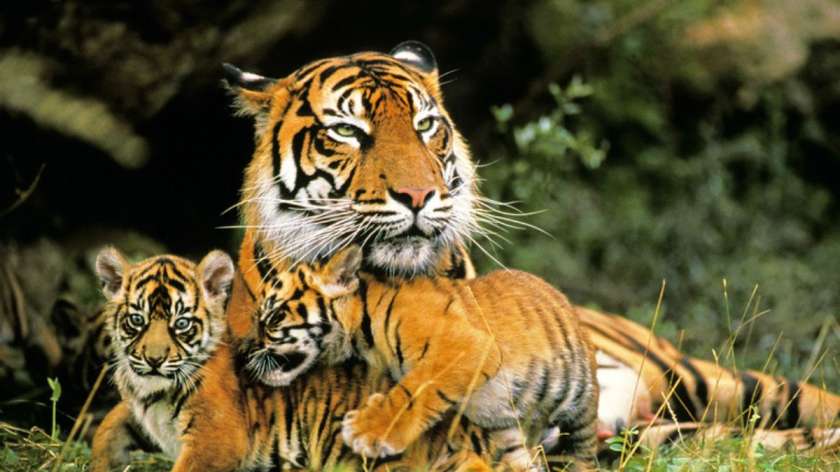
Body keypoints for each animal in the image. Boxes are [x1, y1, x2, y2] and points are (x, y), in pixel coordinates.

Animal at [90, 247, 235, 472]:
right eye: (137, 319)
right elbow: (108, 427)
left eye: (182, 323)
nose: (154, 360)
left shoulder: (214, 440)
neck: (157, 394)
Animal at [241, 245, 598, 471]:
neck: (361, 333)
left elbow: (414, 392)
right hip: (506, 431)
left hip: (578, 414)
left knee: (584, 454)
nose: (244, 354)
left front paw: (367, 431)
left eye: (273, 318)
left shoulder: (464, 347)